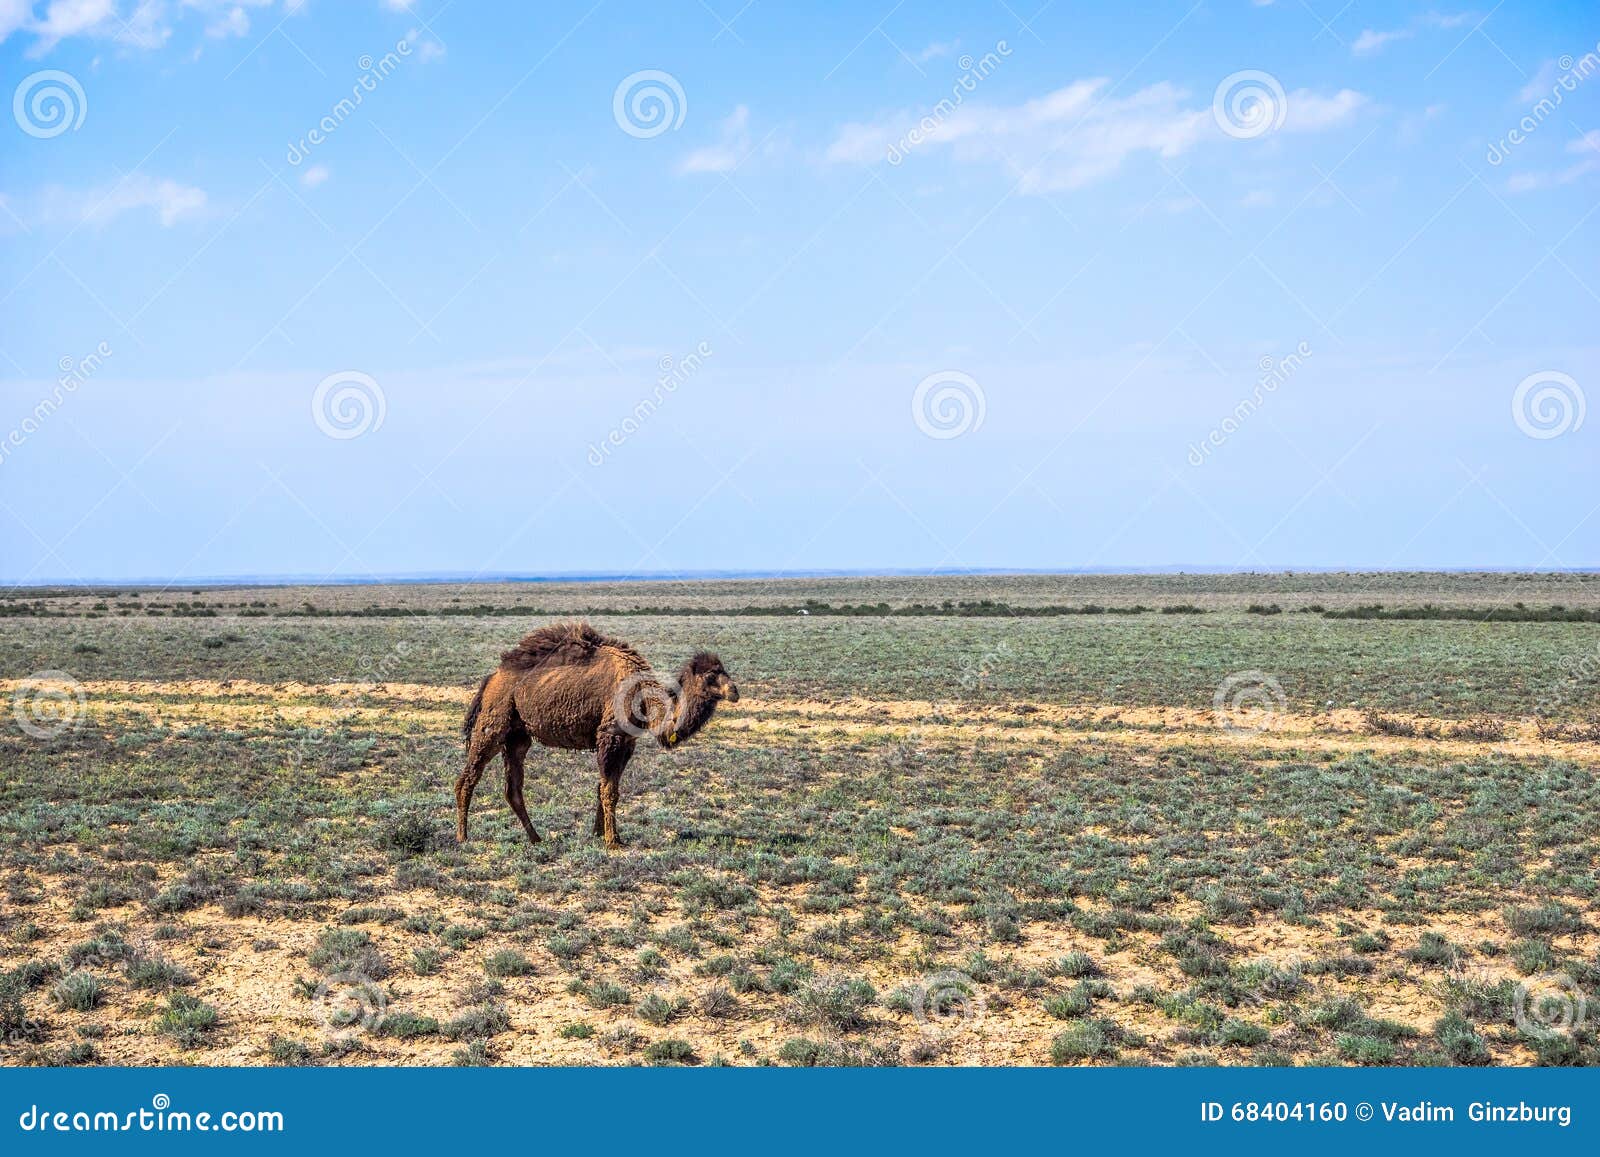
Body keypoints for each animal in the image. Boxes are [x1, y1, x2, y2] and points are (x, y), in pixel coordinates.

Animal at [456, 622, 739, 848]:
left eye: (724, 669)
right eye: (711, 675)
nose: (735, 691)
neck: (644, 697)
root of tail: (492, 678)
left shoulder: (627, 743)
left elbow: (605, 787)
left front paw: (599, 834)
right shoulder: (610, 736)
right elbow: (609, 790)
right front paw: (612, 841)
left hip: (518, 735)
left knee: (513, 788)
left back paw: (536, 838)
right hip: (495, 720)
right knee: (468, 777)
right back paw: (463, 837)